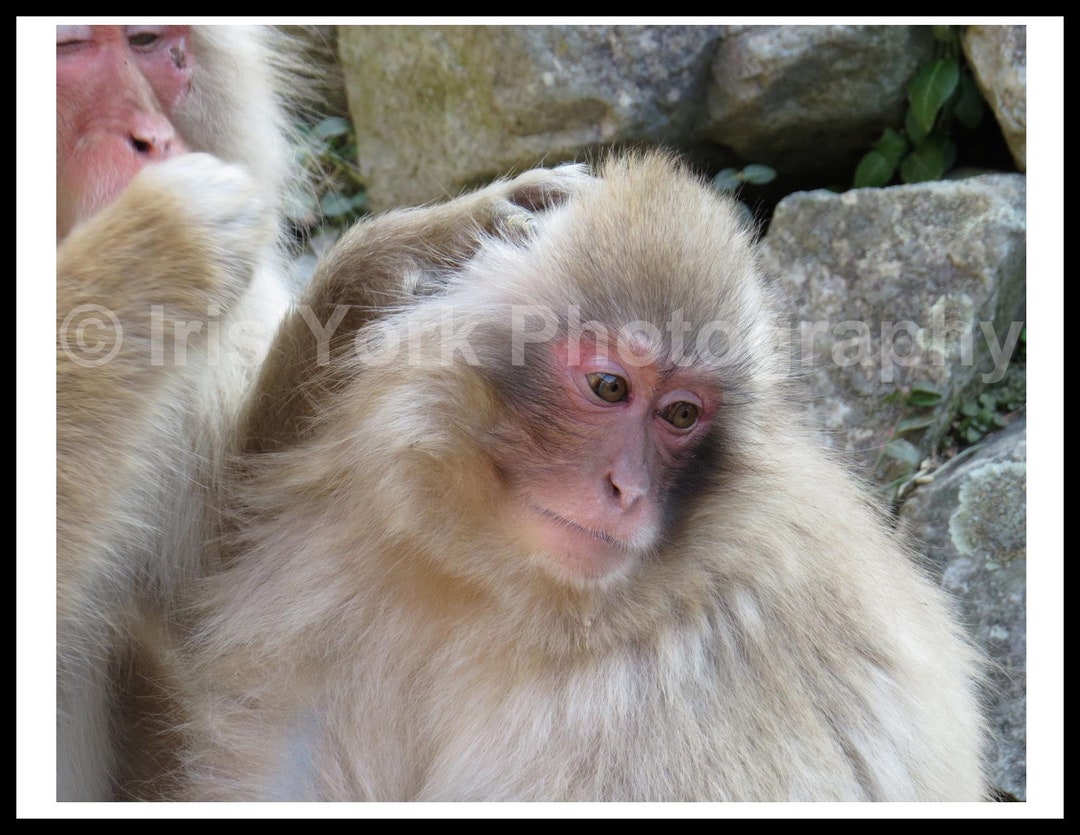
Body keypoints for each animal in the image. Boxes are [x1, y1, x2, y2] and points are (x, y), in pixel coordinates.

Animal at [175, 151, 988, 802]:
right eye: (608, 387)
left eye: (682, 414)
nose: (627, 490)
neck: (498, 591)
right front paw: (430, 239)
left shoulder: (700, 673)